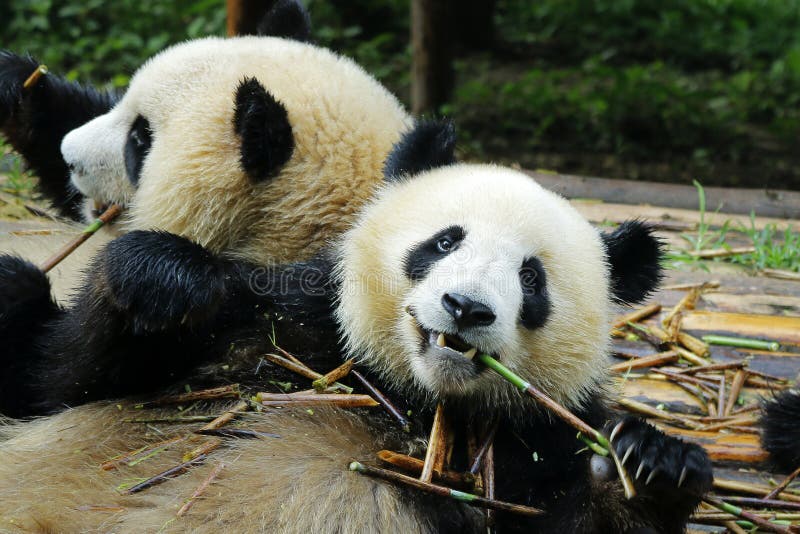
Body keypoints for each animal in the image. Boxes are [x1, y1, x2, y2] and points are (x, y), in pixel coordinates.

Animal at [0, 121, 712, 533]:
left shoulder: (531, 444)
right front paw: (162, 277)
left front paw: (653, 464)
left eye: (531, 279)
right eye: (445, 240)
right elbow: (53, 380)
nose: (466, 308)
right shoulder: (287, 322)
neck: (409, 395)